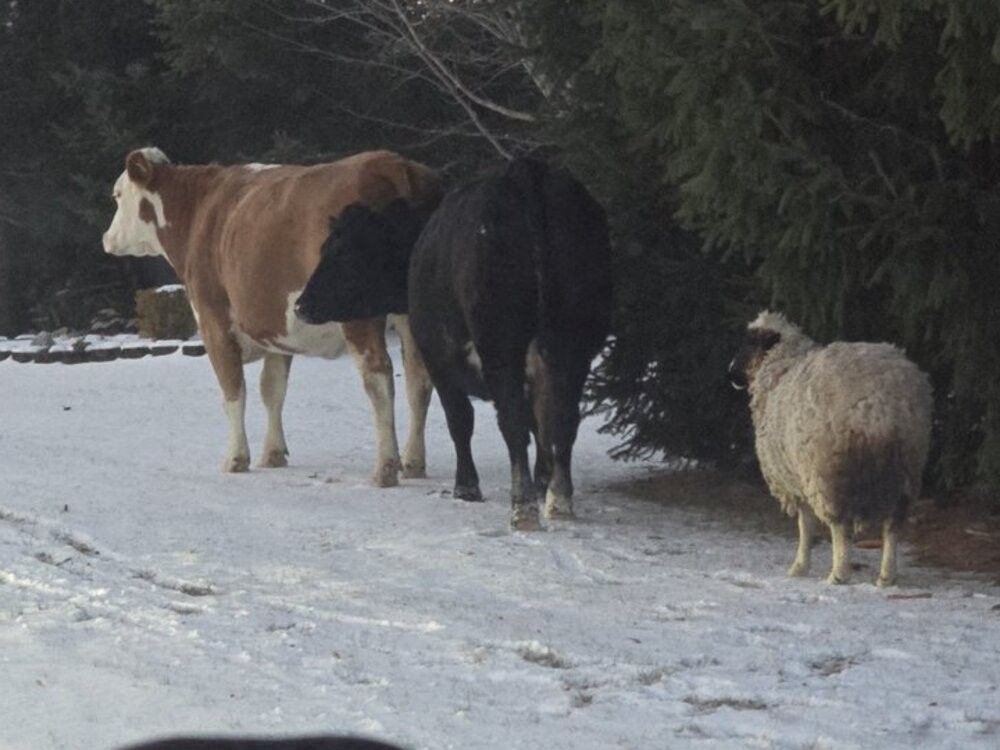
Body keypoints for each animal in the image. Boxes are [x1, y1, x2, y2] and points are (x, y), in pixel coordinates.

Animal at [102, 148, 441, 485]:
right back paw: (413, 462)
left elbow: (233, 391)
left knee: (379, 377)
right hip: (412, 313)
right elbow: (273, 389)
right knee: (419, 379)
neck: (199, 210)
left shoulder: (213, 319)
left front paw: (236, 458)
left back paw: (385, 467)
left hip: (356, 308)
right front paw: (273, 454)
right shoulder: (276, 327)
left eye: (117, 195)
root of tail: (391, 162)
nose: (107, 238)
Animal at [295, 158, 613, 530]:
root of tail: (526, 171)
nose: (301, 304)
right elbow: (541, 423)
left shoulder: (437, 354)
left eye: (342, 252)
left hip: (501, 347)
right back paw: (558, 502)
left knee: (514, 422)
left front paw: (467, 487)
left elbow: (459, 419)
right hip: (575, 345)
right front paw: (542, 480)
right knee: (563, 420)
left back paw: (522, 509)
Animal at [728, 311, 933, 586]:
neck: (781, 366)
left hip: (830, 470)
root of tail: (880, 408)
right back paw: (886, 576)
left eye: (749, 341)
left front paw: (799, 567)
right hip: (905, 468)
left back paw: (838, 573)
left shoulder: (797, 478)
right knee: (892, 526)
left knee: (840, 527)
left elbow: (805, 525)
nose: (731, 374)